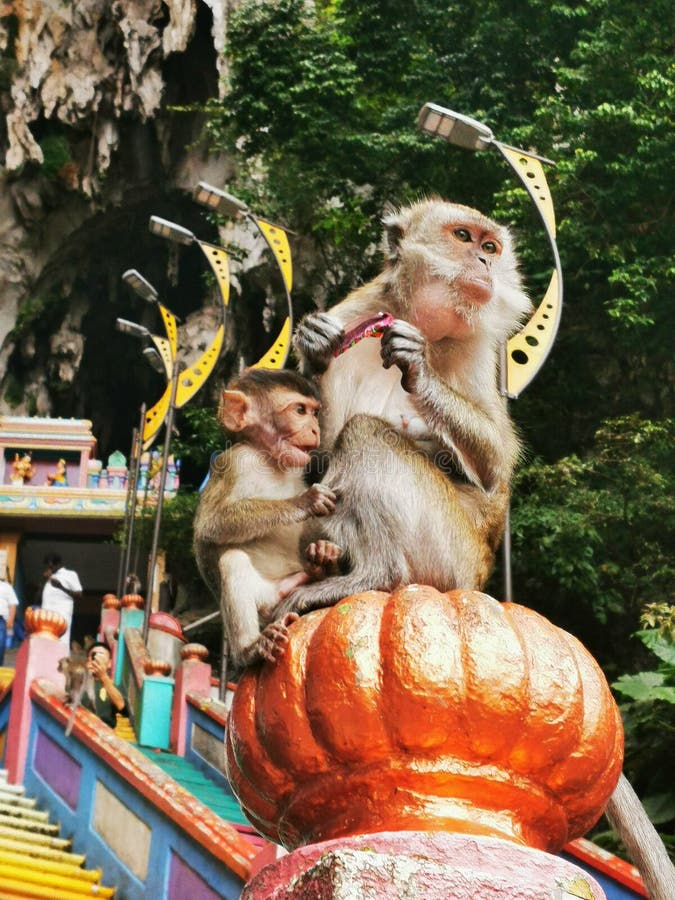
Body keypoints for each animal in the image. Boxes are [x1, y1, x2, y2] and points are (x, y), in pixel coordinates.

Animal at [193, 368, 341, 672]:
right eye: (299, 410)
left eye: (315, 412)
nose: (315, 429)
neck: (270, 460)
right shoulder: (236, 462)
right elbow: (210, 525)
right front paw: (305, 501)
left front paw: (324, 551)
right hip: (265, 598)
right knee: (233, 560)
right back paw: (250, 649)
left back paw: (320, 565)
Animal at [279, 197, 531, 613]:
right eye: (463, 236)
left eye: (490, 246)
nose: (484, 261)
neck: (420, 322)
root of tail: (478, 578)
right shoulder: (356, 310)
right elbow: (318, 454)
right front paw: (315, 348)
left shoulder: (479, 349)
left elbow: (495, 465)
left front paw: (418, 367)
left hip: (450, 553)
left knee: (365, 434)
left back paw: (376, 576)